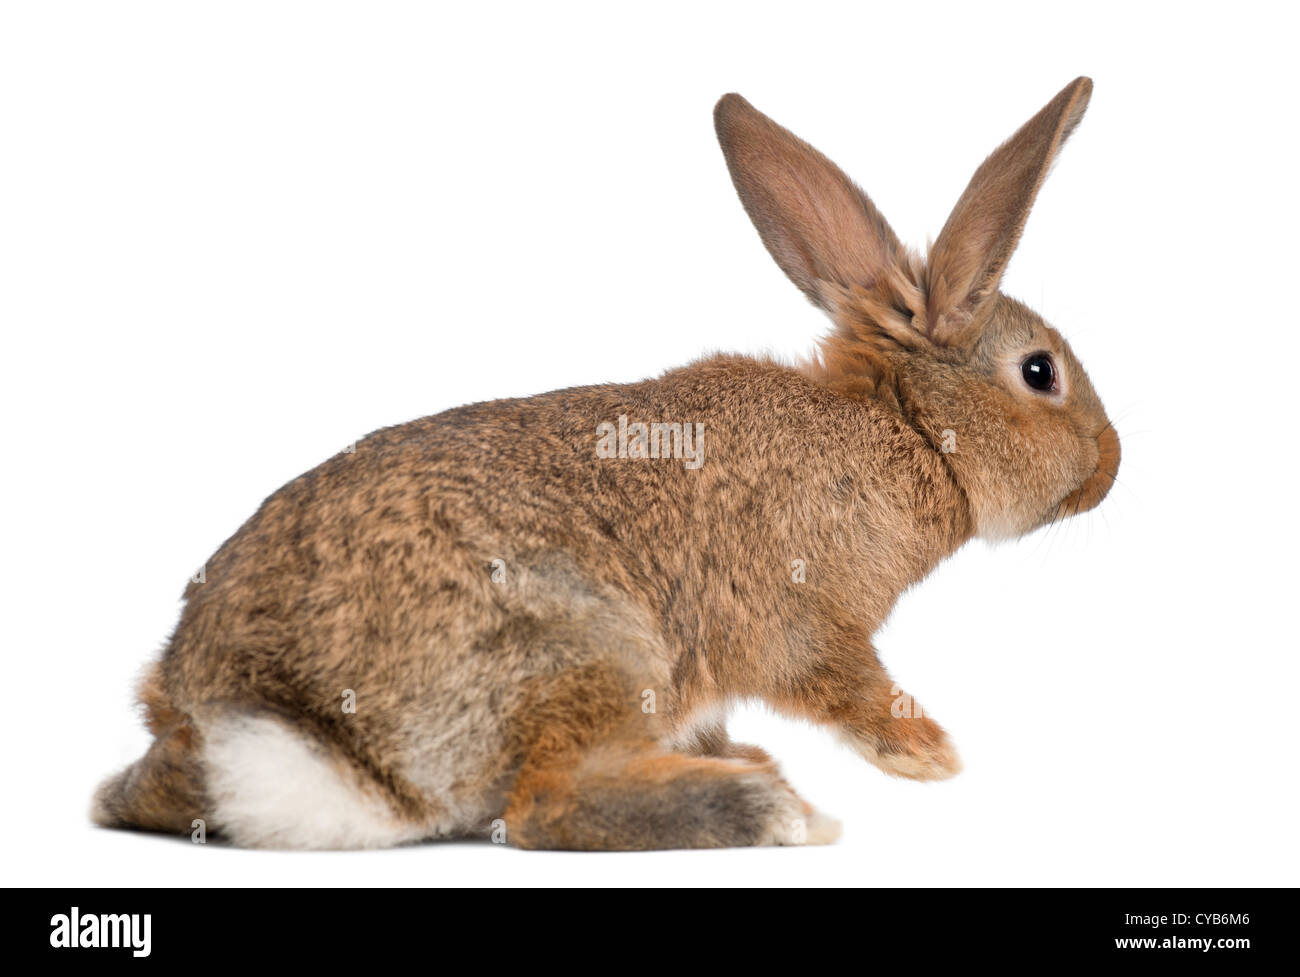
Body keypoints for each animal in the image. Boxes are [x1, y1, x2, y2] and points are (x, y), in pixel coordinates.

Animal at [92, 77, 1117, 850]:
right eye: (1040, 372)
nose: (1111, 469)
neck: (906, 428)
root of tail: (265, 718)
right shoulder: (802, 617)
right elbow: (851, 683)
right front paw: (931, 754)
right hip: (593, 645)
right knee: (541, 805)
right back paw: (773, 809)